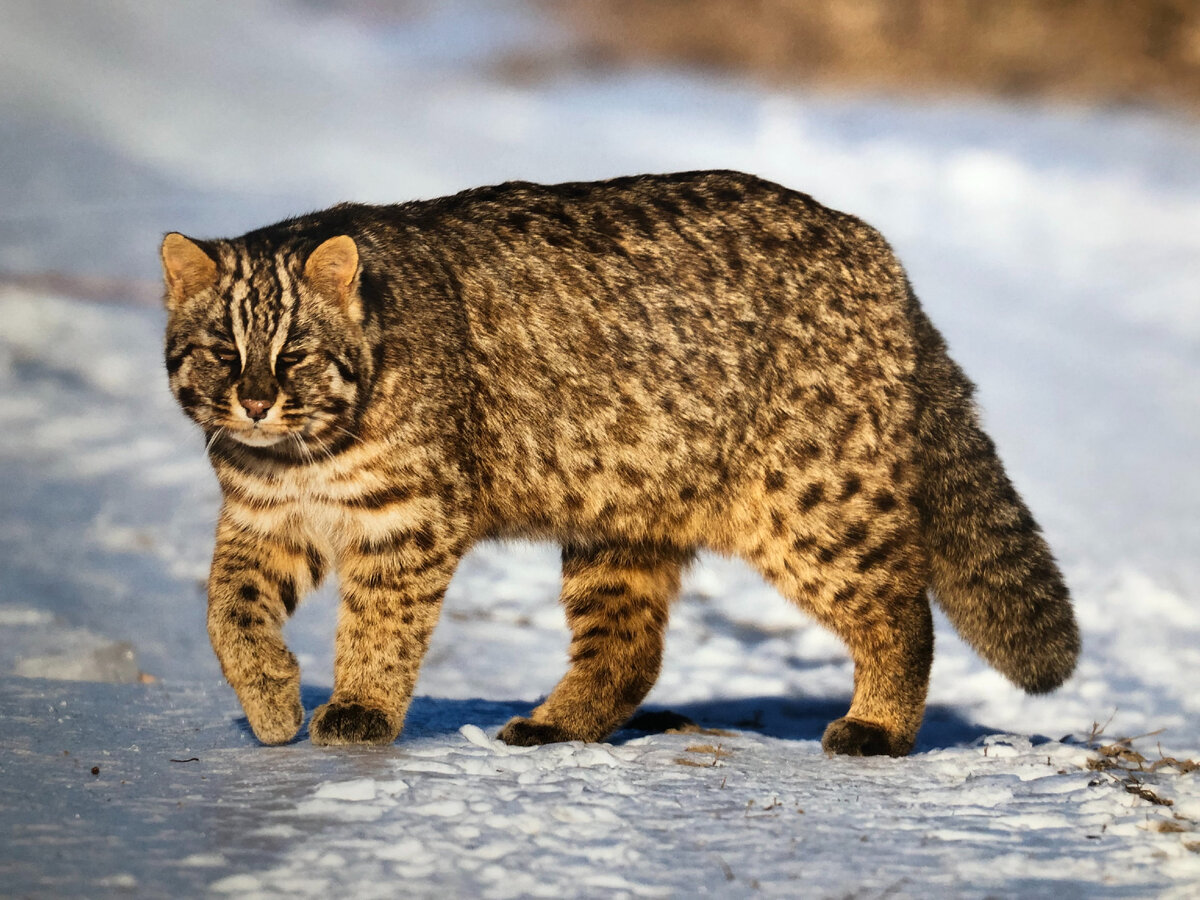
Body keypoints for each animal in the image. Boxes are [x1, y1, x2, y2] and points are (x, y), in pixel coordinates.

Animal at [162, 170, 1080, 763]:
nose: (252, 403)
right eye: (221, 351)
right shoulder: (259, 518)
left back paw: (879, 729)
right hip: (622, 521)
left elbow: (381, 625)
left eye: (296, 353)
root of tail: (873, 249)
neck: (298, 454)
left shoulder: (406, 519)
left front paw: (358, 708)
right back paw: (555, 726)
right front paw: (271, 699)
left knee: (902, 607)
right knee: (629, 650)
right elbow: (225, 613)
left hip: (813, 504)